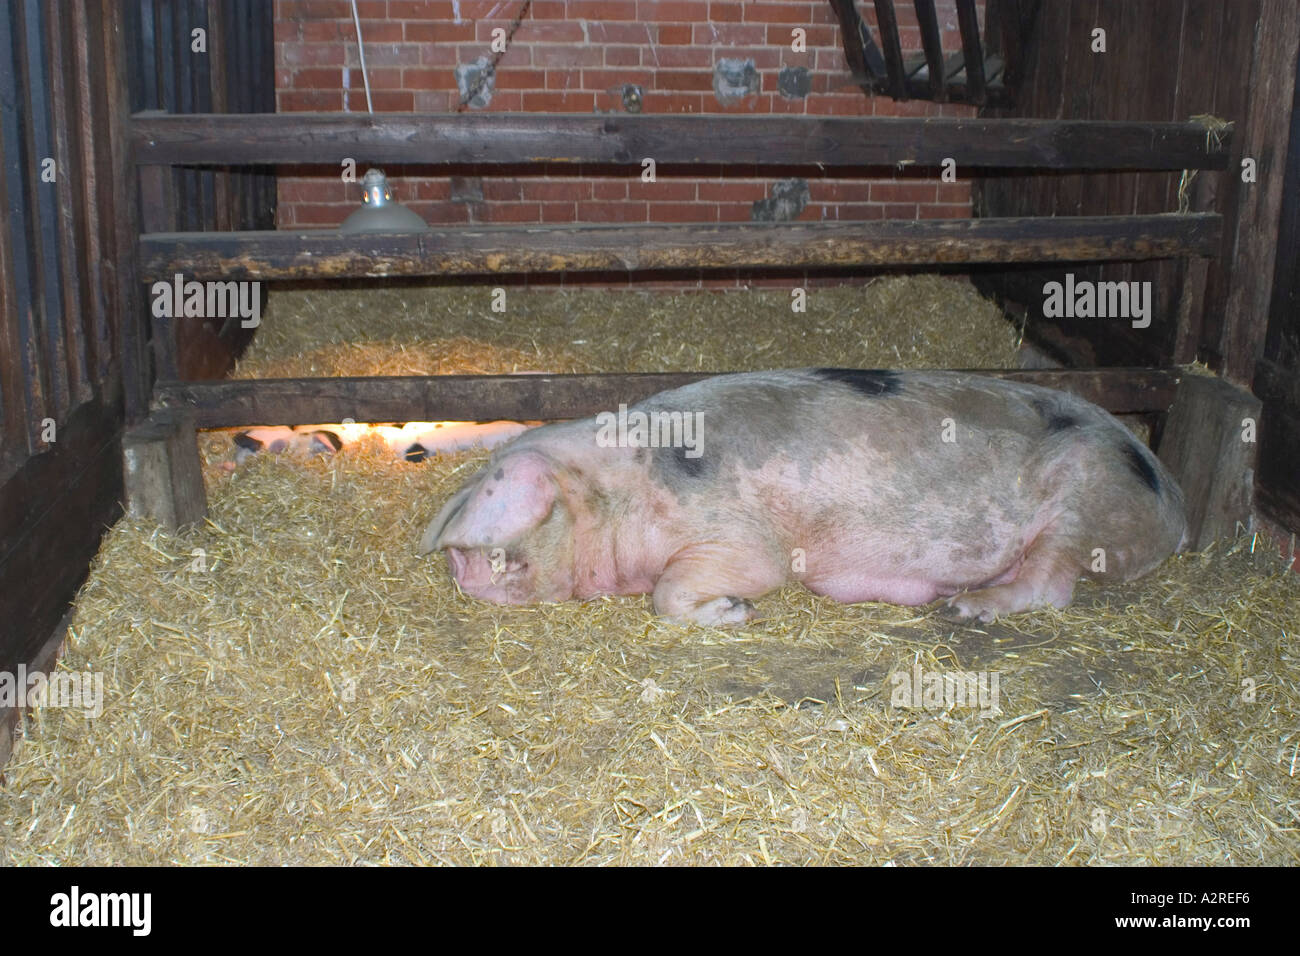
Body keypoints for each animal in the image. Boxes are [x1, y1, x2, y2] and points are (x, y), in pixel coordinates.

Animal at [418, 369, 1187, 626]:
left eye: (497, 491)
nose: (457, 562)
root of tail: (1173, 498)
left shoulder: (740, 541)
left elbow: (673, 594)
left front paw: (740, 611)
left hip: (1083, 494)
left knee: (1053, 585)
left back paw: (968, 608)